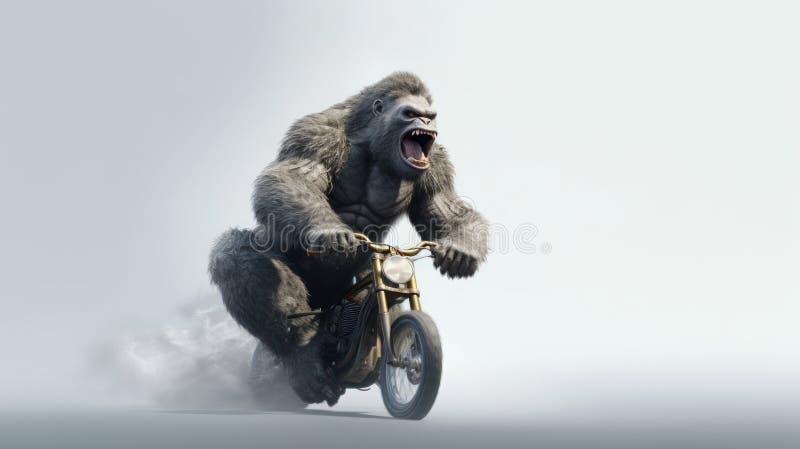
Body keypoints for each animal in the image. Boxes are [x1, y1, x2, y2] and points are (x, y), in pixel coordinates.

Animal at [208, 72, 488, 406]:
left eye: (429, 116)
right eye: (410, 113)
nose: (426, 122)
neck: (372, 143)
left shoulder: (438, 163)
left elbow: (446, 208)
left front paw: (460, 251)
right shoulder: (315, 134)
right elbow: (294, 176)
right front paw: (330, 234)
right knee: (233, 256)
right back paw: (300, 358)